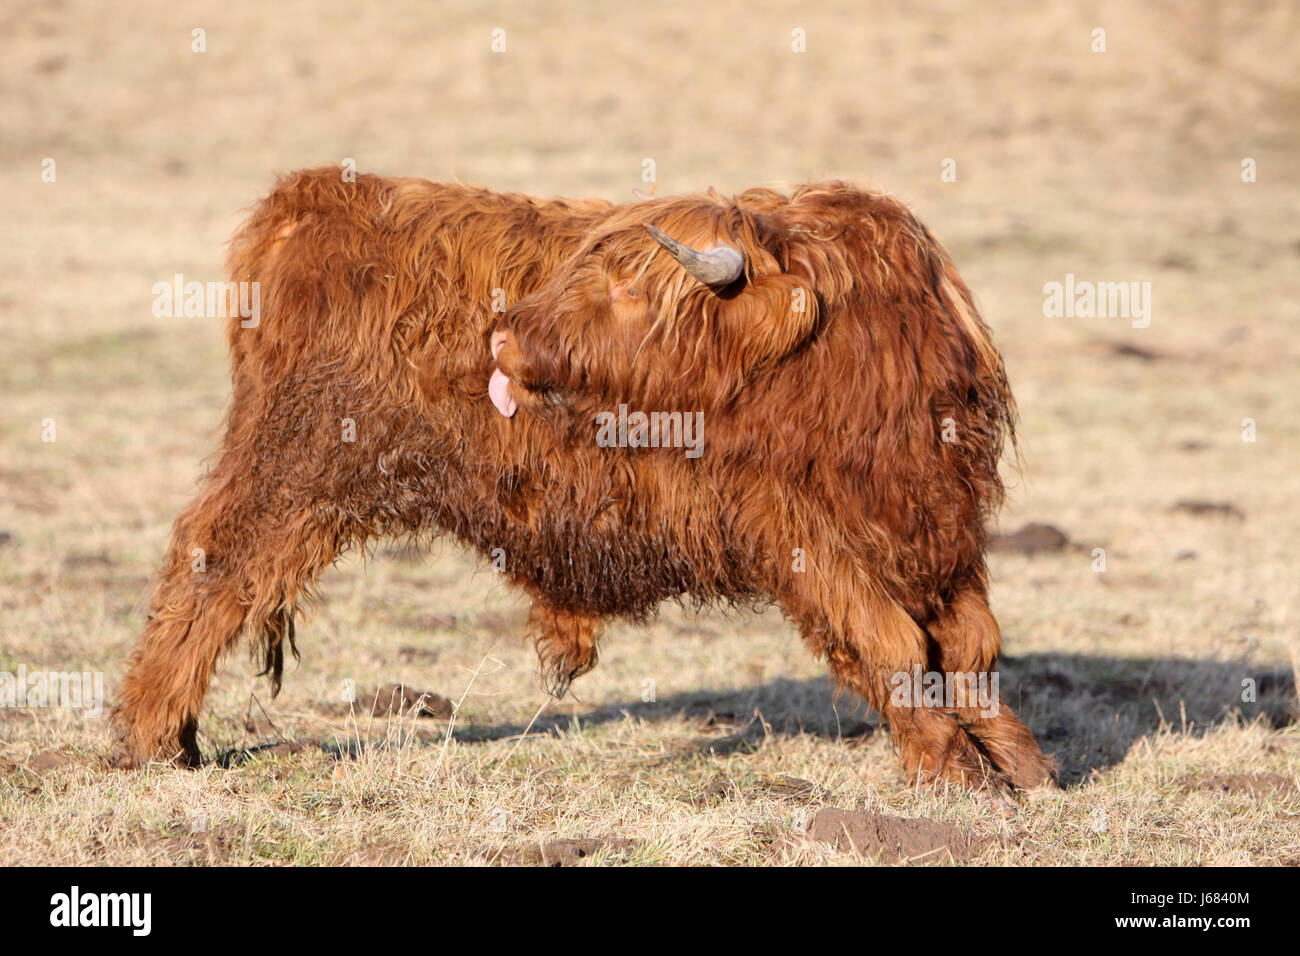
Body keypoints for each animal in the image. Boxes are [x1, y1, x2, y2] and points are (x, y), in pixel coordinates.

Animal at [113, 167, 1057, 800]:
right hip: (295, 466)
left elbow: (971, 646)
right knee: (212, 564)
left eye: (627, 285)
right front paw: (955, 770)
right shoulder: (796, 534)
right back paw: (154, 739)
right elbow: (890, 642)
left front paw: (1020, 760)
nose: (501, 338)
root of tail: (311, 197)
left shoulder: (941, 528)